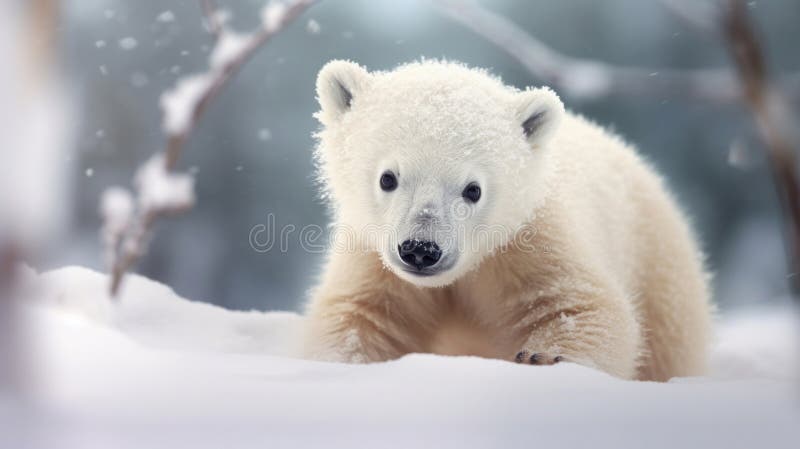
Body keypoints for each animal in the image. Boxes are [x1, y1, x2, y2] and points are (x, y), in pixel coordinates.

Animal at [302, 59, 713, 381]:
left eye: (473, 190)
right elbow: (360, 315)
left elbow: (583, 306)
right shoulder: (370, 256)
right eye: (387, 178)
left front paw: (544, 357)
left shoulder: (530, 239)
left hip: (659, 271)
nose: (420, 249)